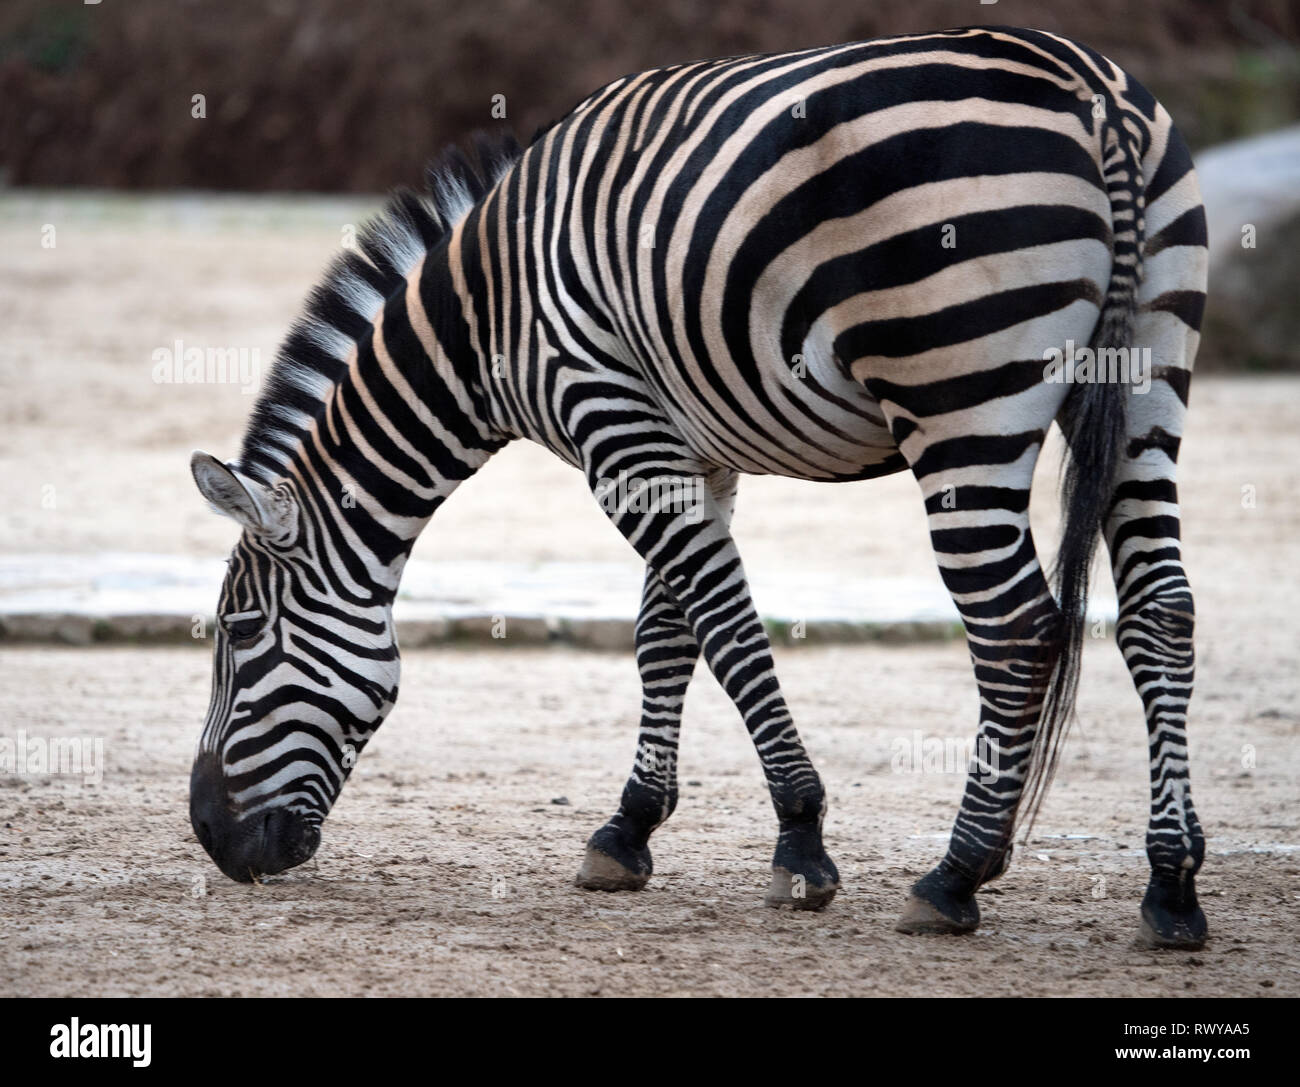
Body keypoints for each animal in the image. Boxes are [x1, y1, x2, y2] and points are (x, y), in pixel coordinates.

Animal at [189, 26, 1209, 948]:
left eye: (239, 632)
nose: (209, 836)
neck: (485, 319)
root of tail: (1084, 85)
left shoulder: (612, 427)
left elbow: (725, 627)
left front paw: (800, 840)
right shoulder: (689, 445)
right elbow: (665, 633)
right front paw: (627, 830)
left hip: (960, 397)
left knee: (1016, 627)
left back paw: (956, 875)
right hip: (1148, 378)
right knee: (1161, 611)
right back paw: (1171, 884)